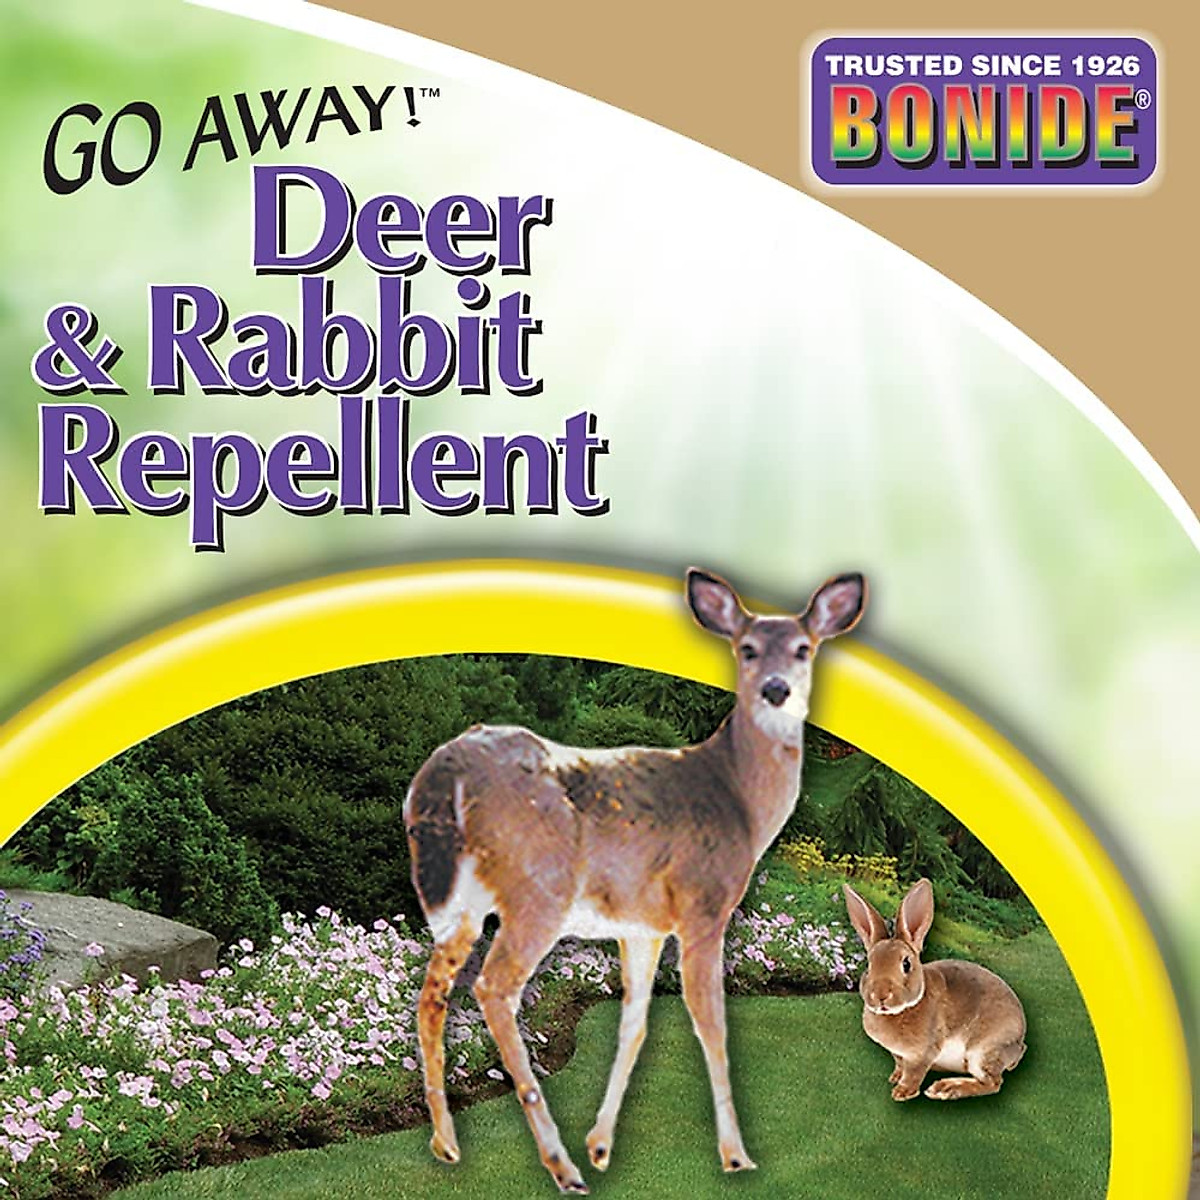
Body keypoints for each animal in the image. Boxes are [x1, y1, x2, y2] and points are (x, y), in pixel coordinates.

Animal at [403, 568, 867, 1193]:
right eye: (746, 649)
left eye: (803, 648)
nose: (776, 690)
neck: (742, 805)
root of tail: (443, 770)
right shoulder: (703, 905)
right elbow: (711, 1020)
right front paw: (735, 1155)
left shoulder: (641, 925)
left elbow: (635, 1025)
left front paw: (601, 1145)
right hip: (539, 885)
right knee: (494, 987)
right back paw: (560, 1165)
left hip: (465, 902)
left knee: (432, 992)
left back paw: (447, 1143)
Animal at [842, 877, 1026, 1101]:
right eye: (869, 966)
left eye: (906, 964)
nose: (880, 996)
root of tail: (1019, 1043)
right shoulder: (899, 1055)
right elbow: (900, 1065)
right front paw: (894, 1078)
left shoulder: (922, 1053)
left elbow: (914, 1073)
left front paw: (902, 1092)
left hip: (982, 1052)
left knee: (992, 1083)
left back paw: (945, 1089)